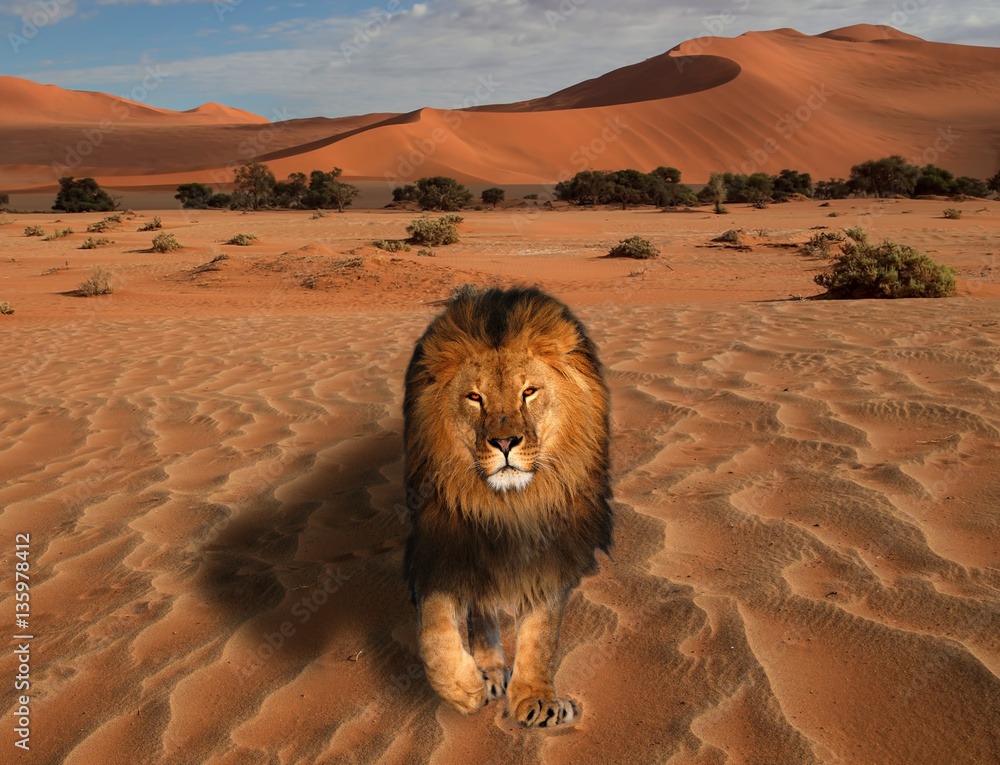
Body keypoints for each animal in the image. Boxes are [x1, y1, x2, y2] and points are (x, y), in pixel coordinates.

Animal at [402, 285, 613, 728]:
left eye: (528, 392)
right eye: (475, 397)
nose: (504, 443)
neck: (508, 506)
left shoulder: (555, 550)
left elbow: (541, 633)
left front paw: (536, 700)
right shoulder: (440, 541)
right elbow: (434, 625)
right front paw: (463, 686)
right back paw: (486, 672)